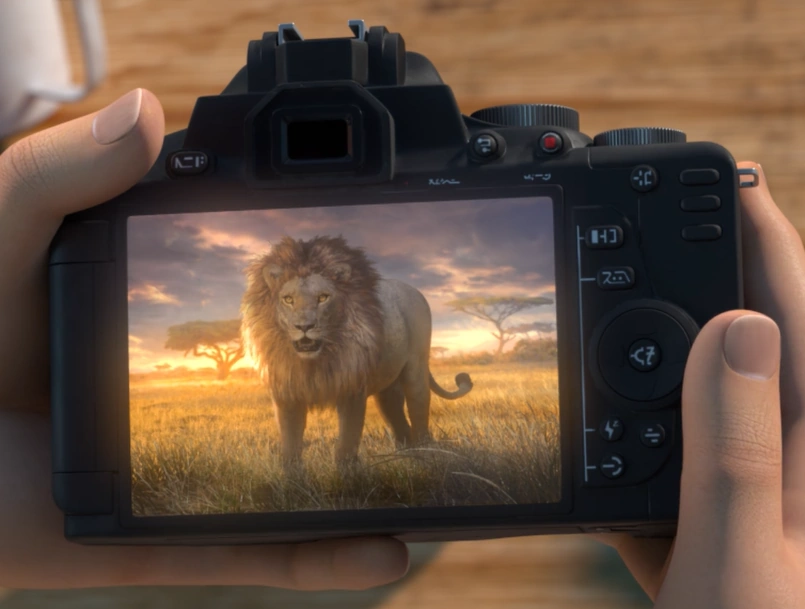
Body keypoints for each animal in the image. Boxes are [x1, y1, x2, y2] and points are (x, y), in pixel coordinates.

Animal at [240, 235, 473, 467]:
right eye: (288, 299)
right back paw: (406, 456)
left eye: (322, 297)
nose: (304, 326)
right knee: (398, 419)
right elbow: (290, 449)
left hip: (416, 367)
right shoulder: (287, 393)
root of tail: (413, 289)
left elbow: (346, 445)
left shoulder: (352, 389)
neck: (315, 361)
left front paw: (348, 474)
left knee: (419, 408)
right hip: (387, 387)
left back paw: (426, 454)